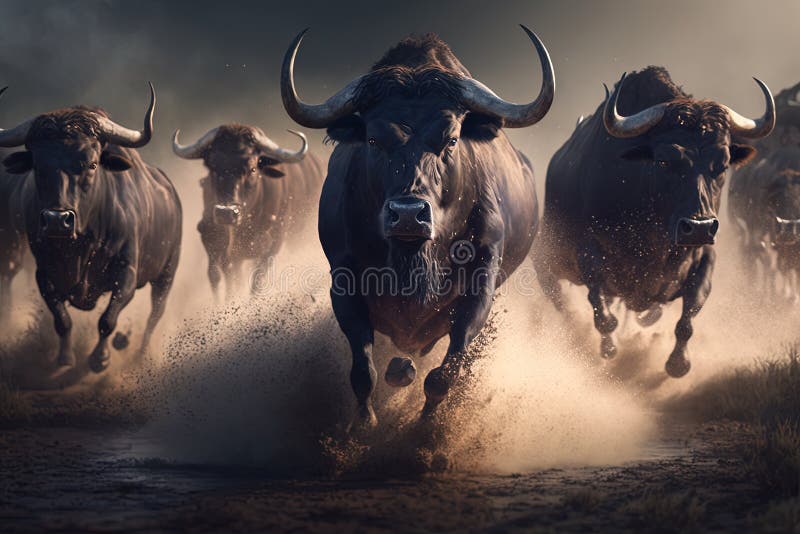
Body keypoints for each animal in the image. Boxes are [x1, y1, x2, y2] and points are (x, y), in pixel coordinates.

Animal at [0, 85, 182, 372]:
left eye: (92, 164)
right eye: (38, 166)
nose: (57, 219)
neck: (79, 246)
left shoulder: (127, 274)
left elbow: (107, 320)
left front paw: (100, 358)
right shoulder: (43, 274)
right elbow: (62, 319)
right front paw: (65, 357)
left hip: (166, 274)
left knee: (155, 315)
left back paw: (141, 354)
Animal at [172, 123, 323, 298]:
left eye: (252, 169)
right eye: (212, 166)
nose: (225, 213)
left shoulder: (272, 247)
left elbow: (256, 282)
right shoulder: (218, 244)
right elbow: (225, 277)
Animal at [280, 26, 553, 428]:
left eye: (451, 139)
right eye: (373, 139)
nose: (408, 213)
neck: (411, 259)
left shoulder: (481, 284)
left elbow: (445, 373)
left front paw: (426, 426)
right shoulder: (342, 281)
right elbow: (362, 371)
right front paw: (365, 422)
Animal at [535, 66, 774, 377]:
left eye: (722, 165)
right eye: (664, 161)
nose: (698, 227)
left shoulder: (705, 256)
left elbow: (688, 316)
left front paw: (678, 363)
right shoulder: (588, 251)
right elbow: (602, 312)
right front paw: (608, 348)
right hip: (545, 258)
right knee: (561, 301)